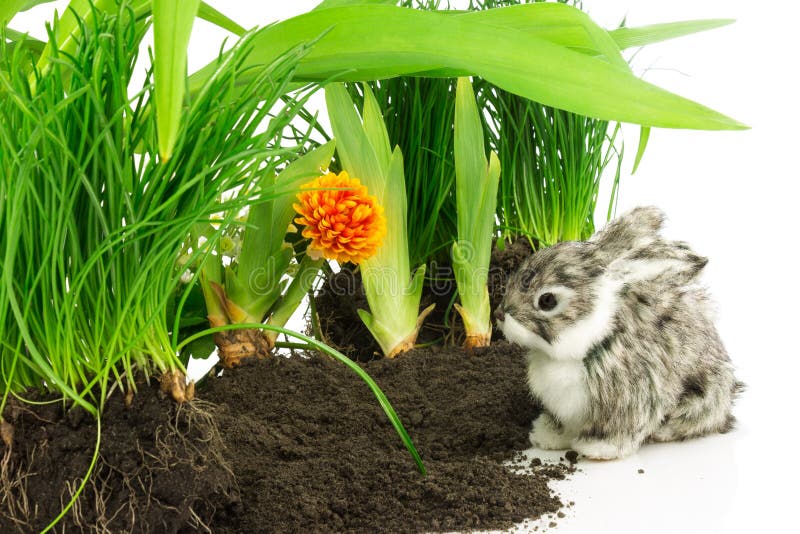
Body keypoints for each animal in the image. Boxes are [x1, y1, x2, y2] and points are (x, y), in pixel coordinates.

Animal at [495, 206, 744, 460]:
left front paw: (597, 449)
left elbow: (619, 430)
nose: (499, 314)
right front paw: (546, 437)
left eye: (547, 300)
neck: (593, 339)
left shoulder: (631, 400)